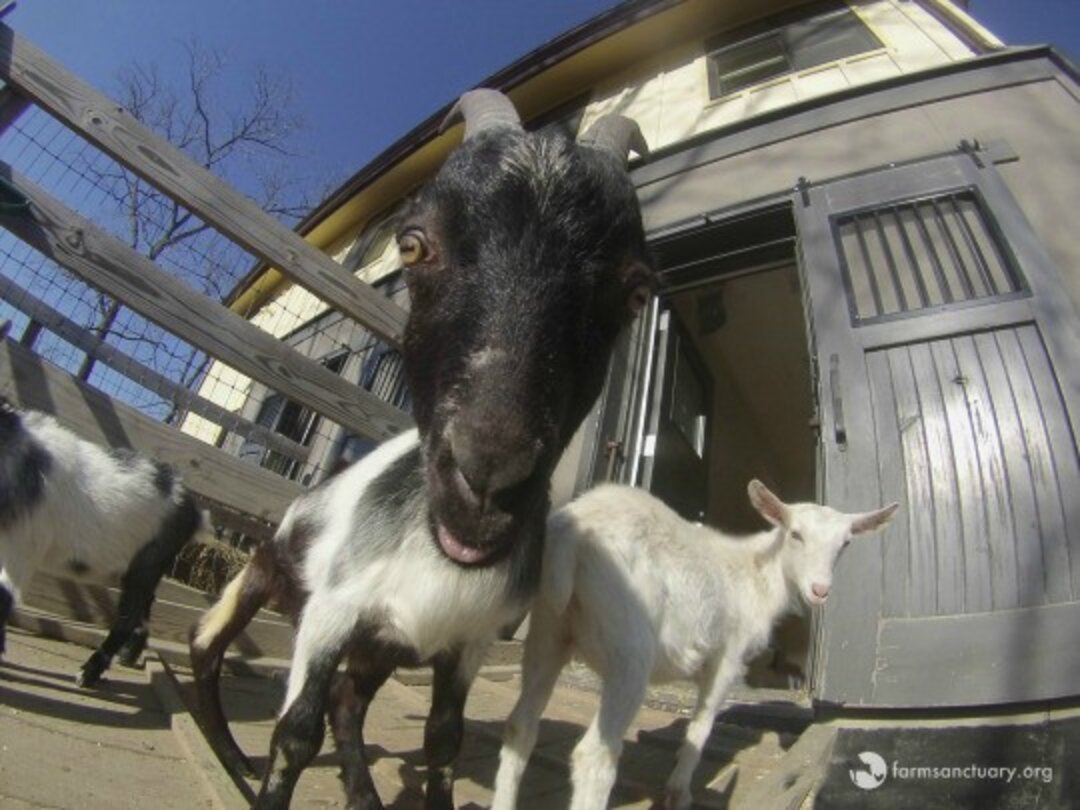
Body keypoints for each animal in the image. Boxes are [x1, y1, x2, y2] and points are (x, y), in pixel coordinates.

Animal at [0, 398, 202, 686]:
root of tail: (194, 511)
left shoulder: (23, 546)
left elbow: (3, 597)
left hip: (148, 562)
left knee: (127, 617)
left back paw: (88, 674)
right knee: (144, 607)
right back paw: (128, 656)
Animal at [187, 88, 654, 810]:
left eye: (635, 292)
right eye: (411, 245)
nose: (487, 480)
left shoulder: (465, 643)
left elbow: (442, 741)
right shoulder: (332, 611)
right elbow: (296, 732)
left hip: (378, 648)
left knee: (349, 703)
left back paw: (359, 792)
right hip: (267, 570)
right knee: (209, 645)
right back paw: (236, 762)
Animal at [493, 480, 898, 810]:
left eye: (846, 544)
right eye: (795, 534)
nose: (820, 590)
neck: (758, 574)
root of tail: (572, 532)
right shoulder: (728, 657)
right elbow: (701, 725)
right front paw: (679, 791)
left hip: (548, 628)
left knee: (520, 728)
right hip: (630, 648)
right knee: (595, 755)